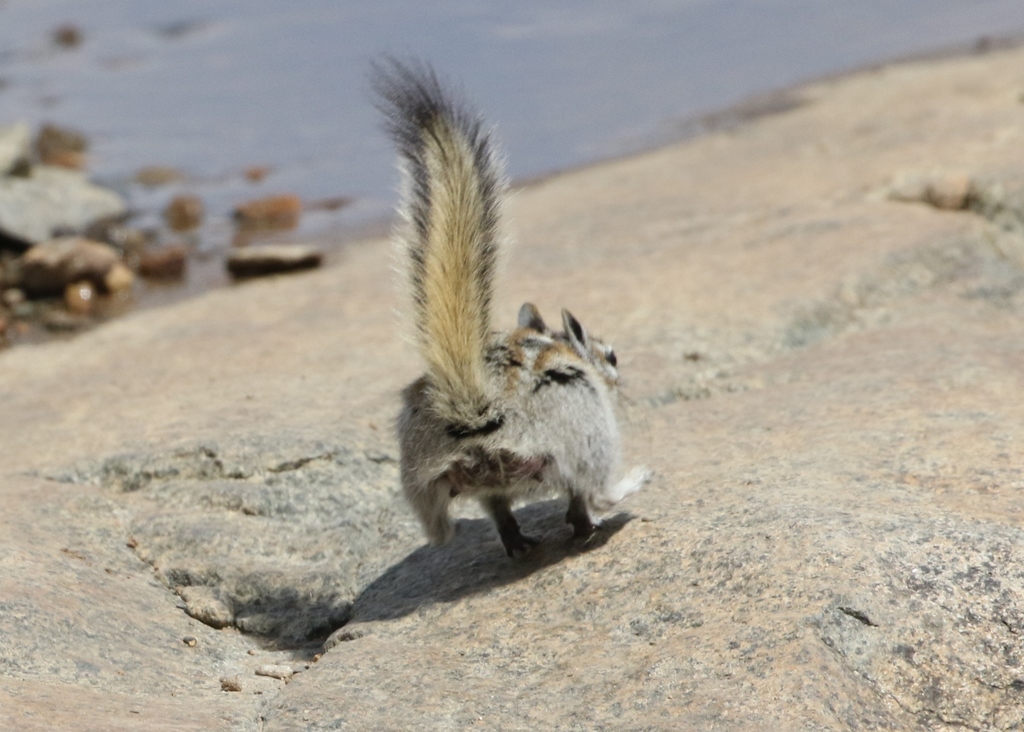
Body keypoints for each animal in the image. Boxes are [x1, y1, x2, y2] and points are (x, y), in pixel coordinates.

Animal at [373, 59, 649, 557]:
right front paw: (586, 523)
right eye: (613, 356)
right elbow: (578, 502)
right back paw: (630, 484)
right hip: (587, 434)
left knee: (478, 518)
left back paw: (517, 545)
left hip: (430, 485)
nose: (622, 382)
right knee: (596, 486)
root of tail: (474, 408)